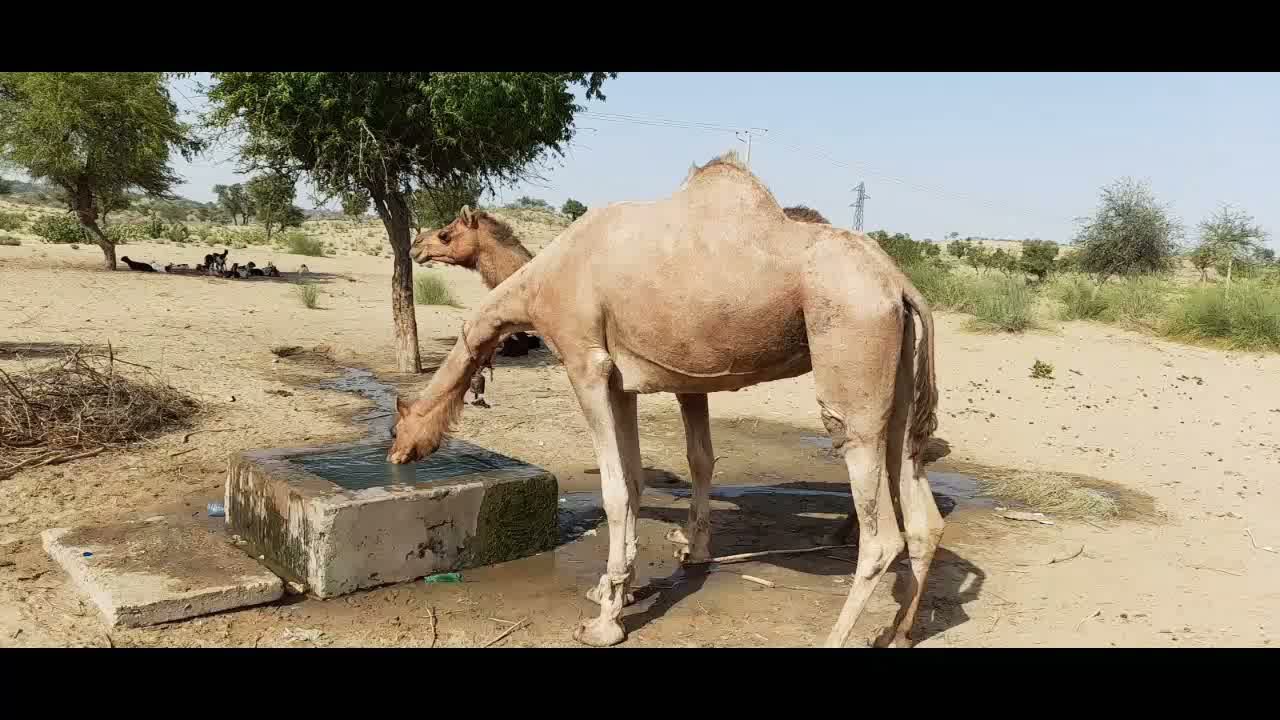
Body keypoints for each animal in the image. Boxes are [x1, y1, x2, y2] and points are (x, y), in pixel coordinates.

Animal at [389, 153, 942, 649]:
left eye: (445, 234)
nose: (396, 453)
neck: (542, 280)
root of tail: (900, 283)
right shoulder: (621, 380)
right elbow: (634, 479)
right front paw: (618, 590)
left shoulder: (585, 362)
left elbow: (615, 489)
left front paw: (604, 622)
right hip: (896, 378)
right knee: (922, 515)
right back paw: (898, 633)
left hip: (852, 352)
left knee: (880, 533)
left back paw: (837, 633)